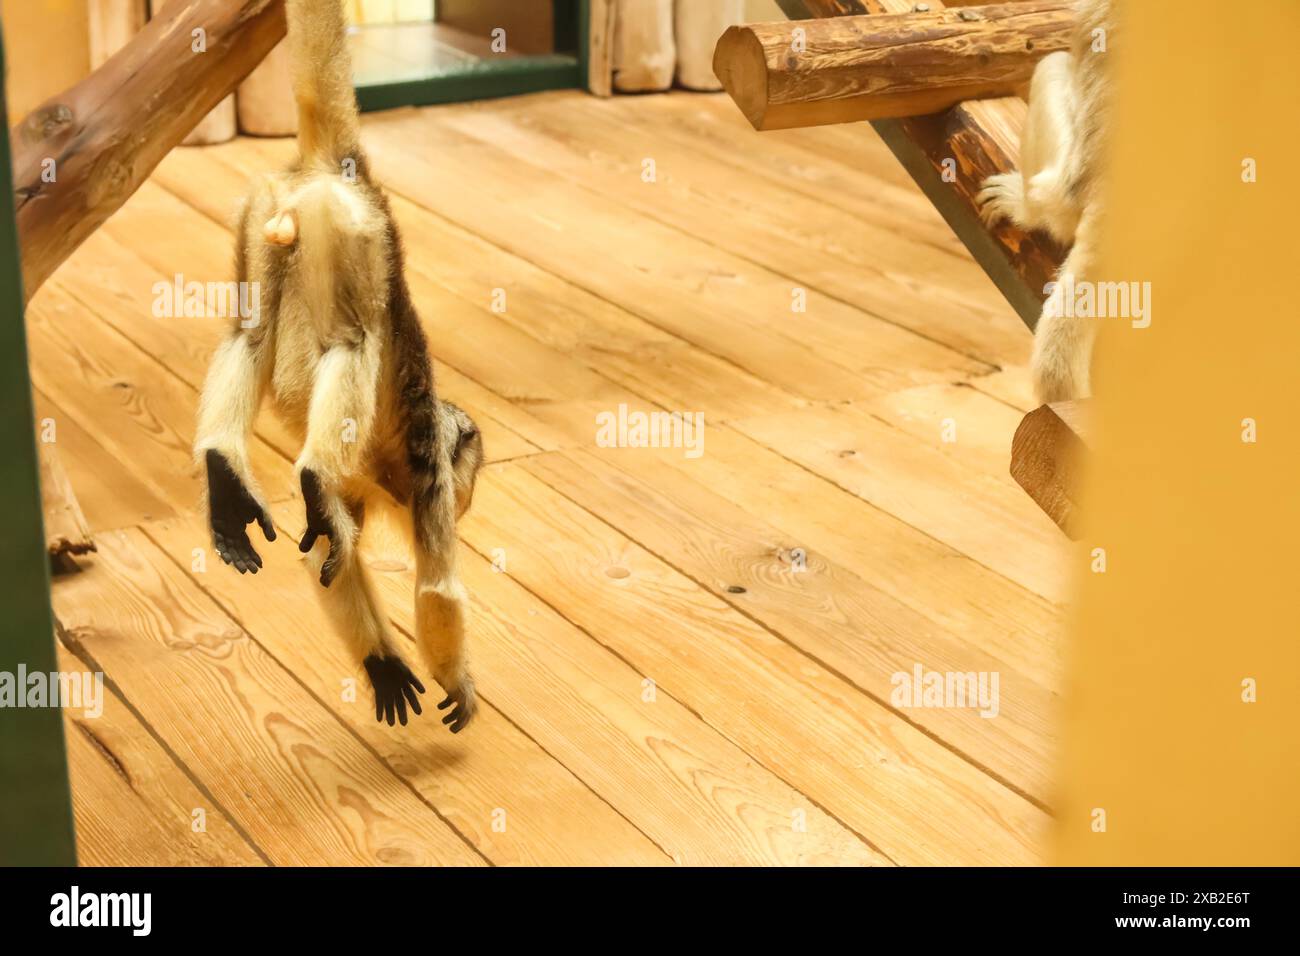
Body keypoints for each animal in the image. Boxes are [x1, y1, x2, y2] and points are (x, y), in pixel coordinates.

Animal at [193, 0, 484, 732]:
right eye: (471, 474)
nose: (472, 500)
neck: (388, 481)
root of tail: (349, 175)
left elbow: (330, 553)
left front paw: (381, 662)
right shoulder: (429, 480)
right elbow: (436, 589)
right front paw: (457, 679)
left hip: (265, 212)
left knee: (247, 334)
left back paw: (222, 469)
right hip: (351, 232)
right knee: (353, 339)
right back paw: (308, 471)